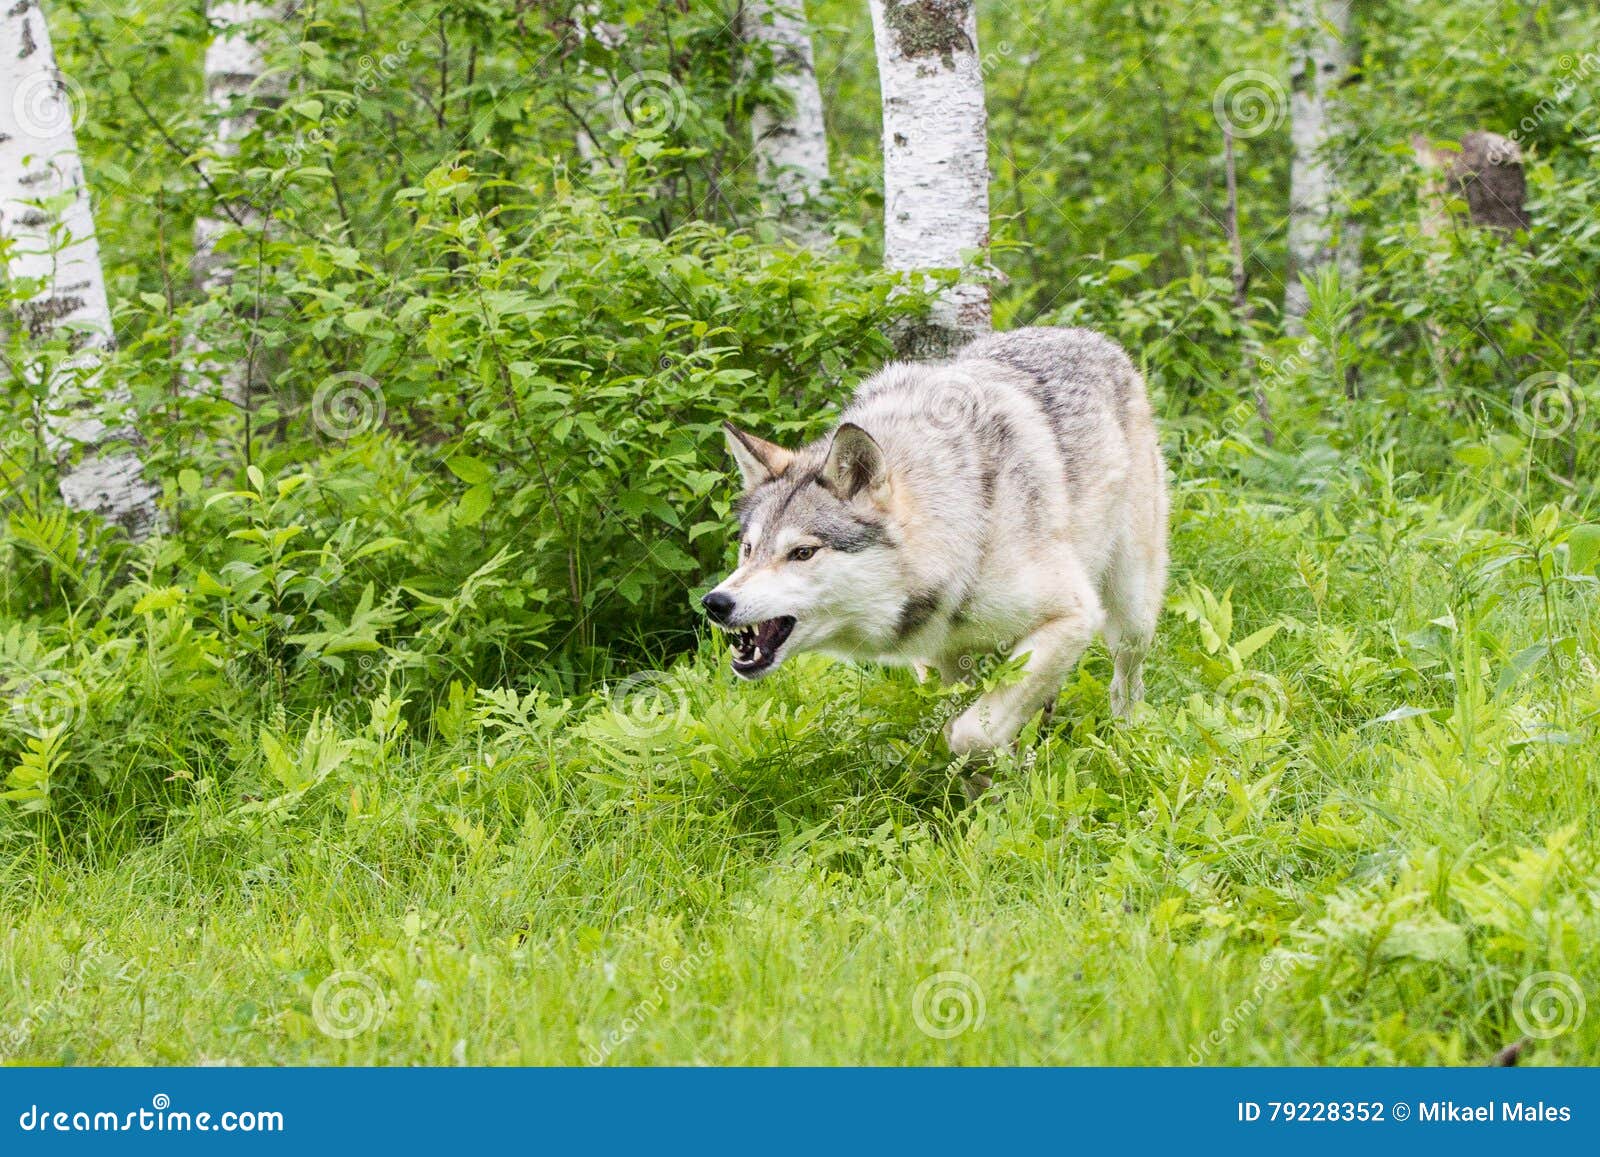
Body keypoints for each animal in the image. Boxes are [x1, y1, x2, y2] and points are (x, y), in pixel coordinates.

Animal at [701, 327, 1168, 756]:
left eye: (802, 552)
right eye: (749, 549)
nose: (715, 603)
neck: (960, 527)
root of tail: (1088, 336)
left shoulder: (1074, 615)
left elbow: (969, 734)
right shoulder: (945, 659)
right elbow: (957, 727)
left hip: (1131, 619)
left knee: (1127, 682)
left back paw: (1127, 739)